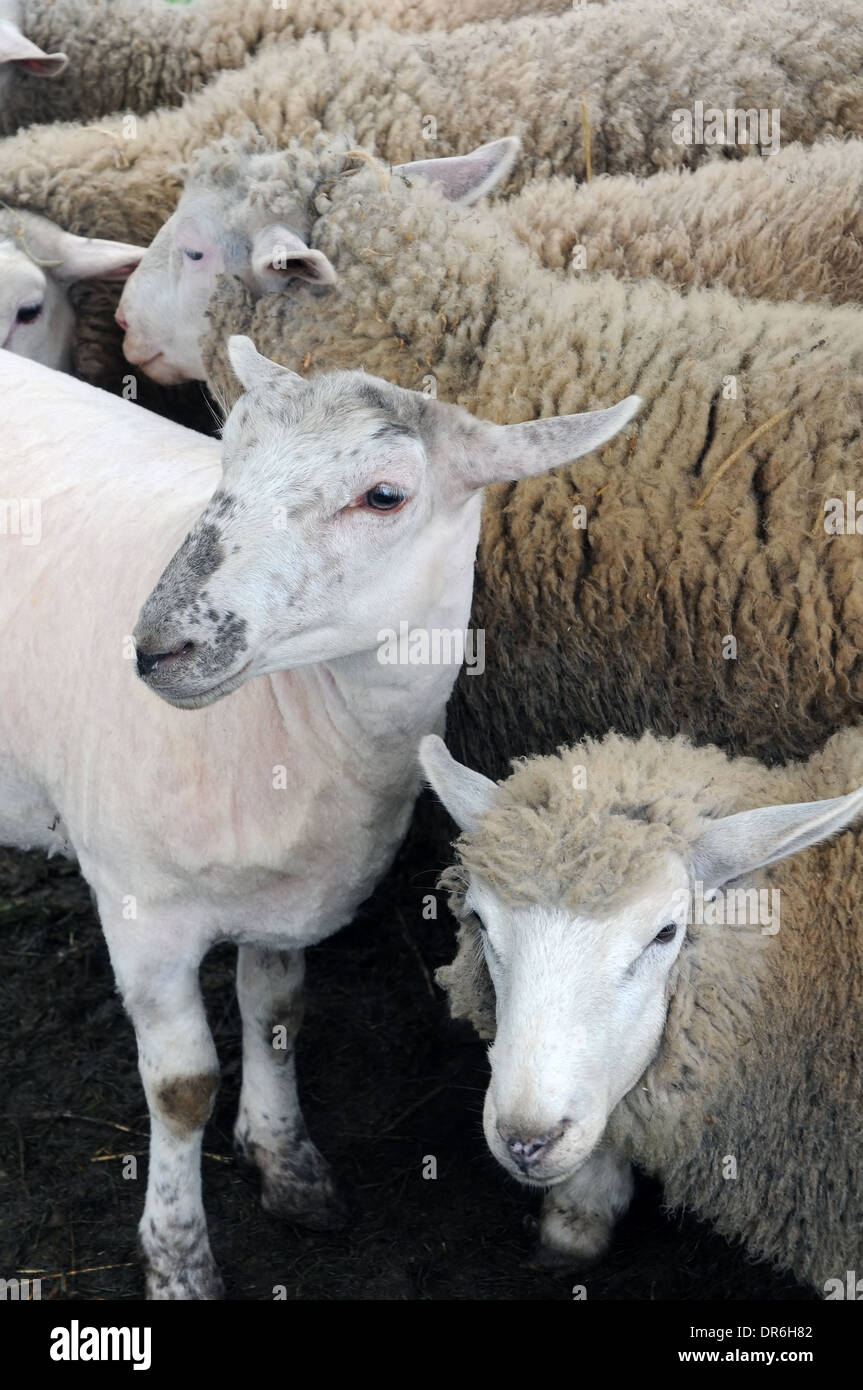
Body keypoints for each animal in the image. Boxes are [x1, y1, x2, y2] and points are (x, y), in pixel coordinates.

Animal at [0, 340, 637, 1297]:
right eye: (227, 453)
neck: (299, 723)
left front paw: (286, 1163)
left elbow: (277, 1013)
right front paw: (179, 1259)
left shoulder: (291, 892)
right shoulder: (140, 910)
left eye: (385, 495)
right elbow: (183, 1088)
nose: (158, 648)